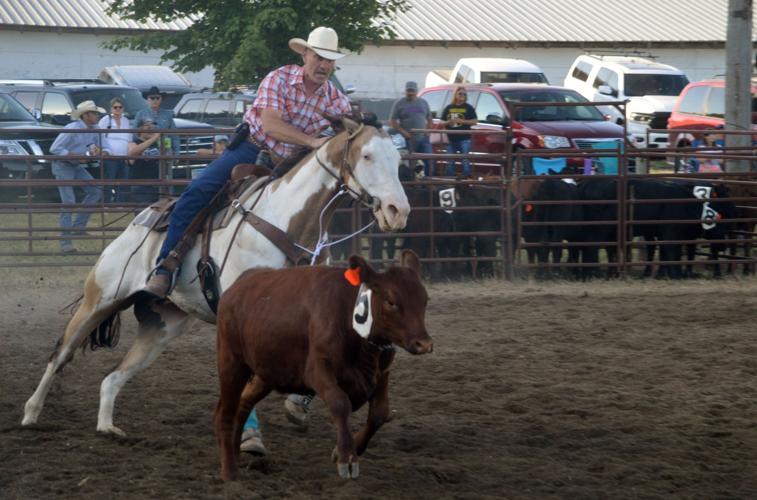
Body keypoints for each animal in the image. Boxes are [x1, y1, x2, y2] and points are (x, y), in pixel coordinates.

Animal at [21, 116, 411, 436]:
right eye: (367, 156)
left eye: (397, 161)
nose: (399, 211)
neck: (285, 222)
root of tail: (135, 224)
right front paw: (250, 436)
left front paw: (298, 407)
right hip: (99, 300)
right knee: (60, 355)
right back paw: (31, 414)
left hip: (162, 325)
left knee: (114, 376)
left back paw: (106, 426)